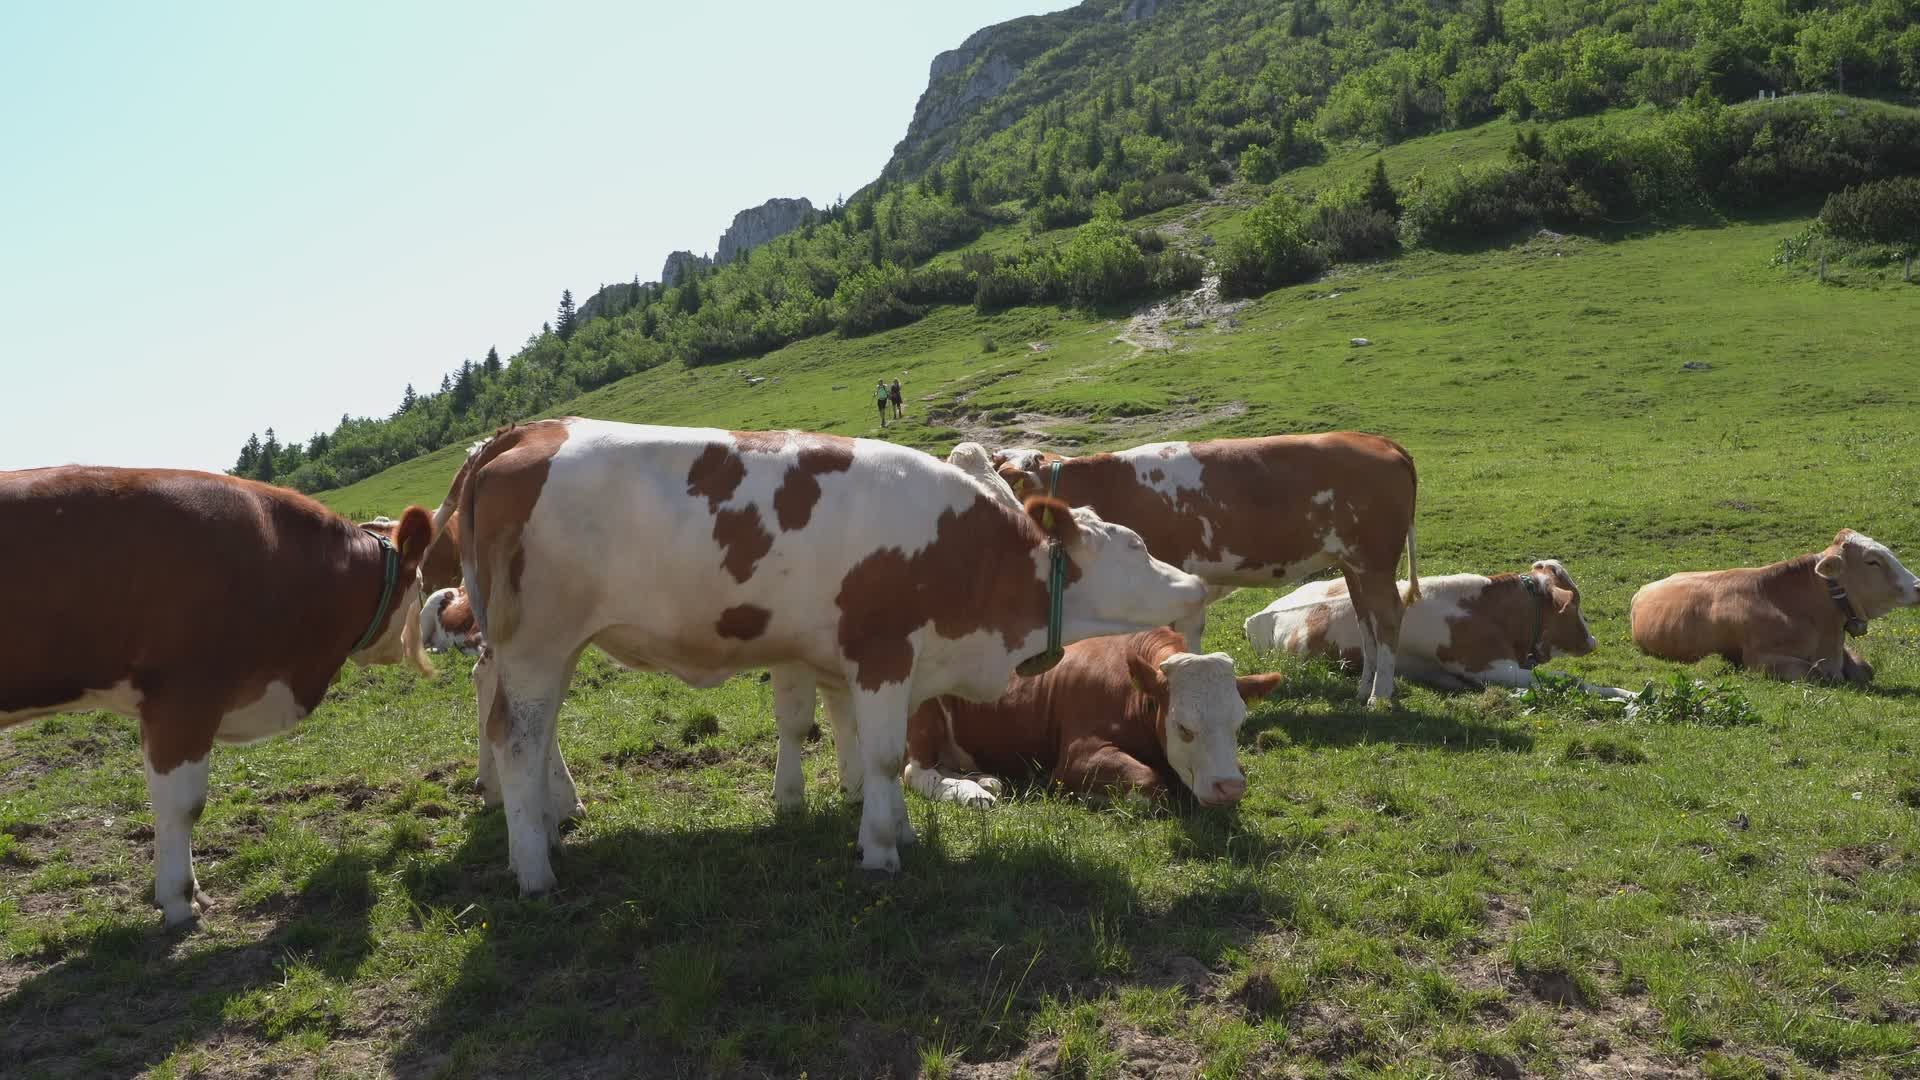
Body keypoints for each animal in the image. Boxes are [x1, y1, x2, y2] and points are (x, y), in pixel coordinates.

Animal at [436, 418, 1210, 895]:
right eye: (1137, 544)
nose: (1195, 584)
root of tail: (522, 434)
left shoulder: (865, 660)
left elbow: (872, 754)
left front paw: (896, 829)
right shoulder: (883, 650)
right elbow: (883, 755)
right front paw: (882, 850)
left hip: (554, 646)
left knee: (537, 735)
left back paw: (547, 828)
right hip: (536, 641)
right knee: (517, 736)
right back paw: (534, 868)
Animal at [904, 628, 1285, 809]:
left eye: (1239, 724)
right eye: (1183, 728)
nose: (1230, 788)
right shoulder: (1077, 756)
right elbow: (1150, 784)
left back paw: (985, 780)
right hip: (922, 715)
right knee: (916, 771)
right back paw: (970, 793)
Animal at [989, 433, 1420, 705]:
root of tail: (1378, 440)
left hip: (1375, 561)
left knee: (1388, 616)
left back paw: (1379, 697)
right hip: (1354, 566)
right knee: (1367, 621)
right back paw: (1364, 689)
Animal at [1246, 560, 1633, 699]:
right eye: (1577, 603)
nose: (1593, 640)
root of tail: (1260, 614)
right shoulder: (1490, 667)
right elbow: (1571, 679)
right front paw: (1625, 693)